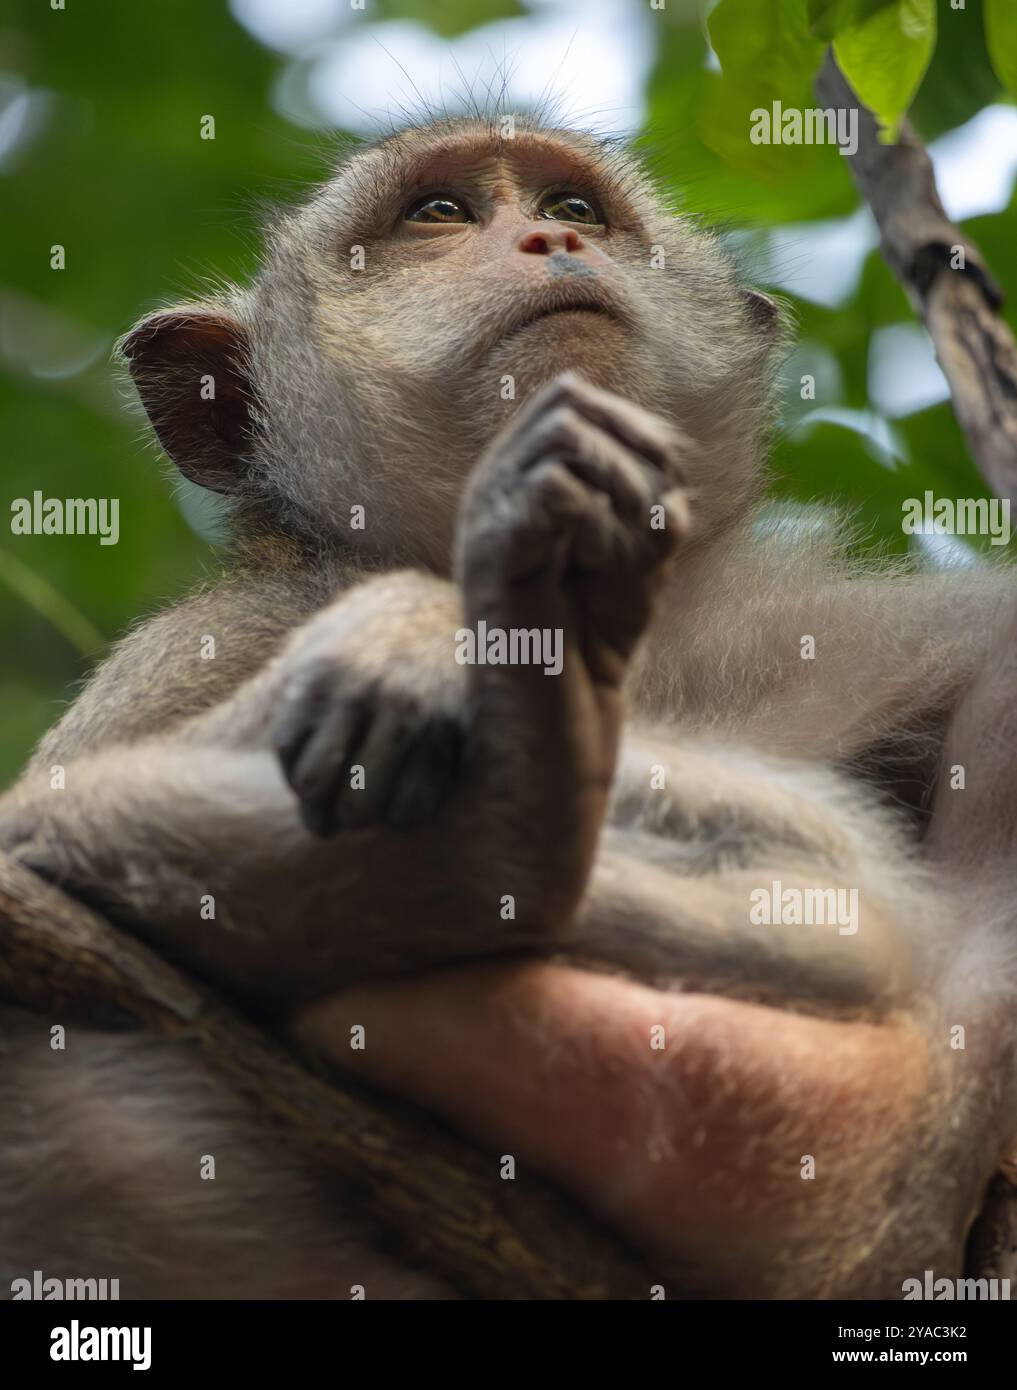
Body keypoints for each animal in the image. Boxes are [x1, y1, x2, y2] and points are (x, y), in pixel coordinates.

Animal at [1, 113, 1016, 1301]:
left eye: (575, 208)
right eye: (438, 213)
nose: (550, 241)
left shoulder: (796, 623)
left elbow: (988, 651)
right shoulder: (203, 644)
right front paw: (433, 625)